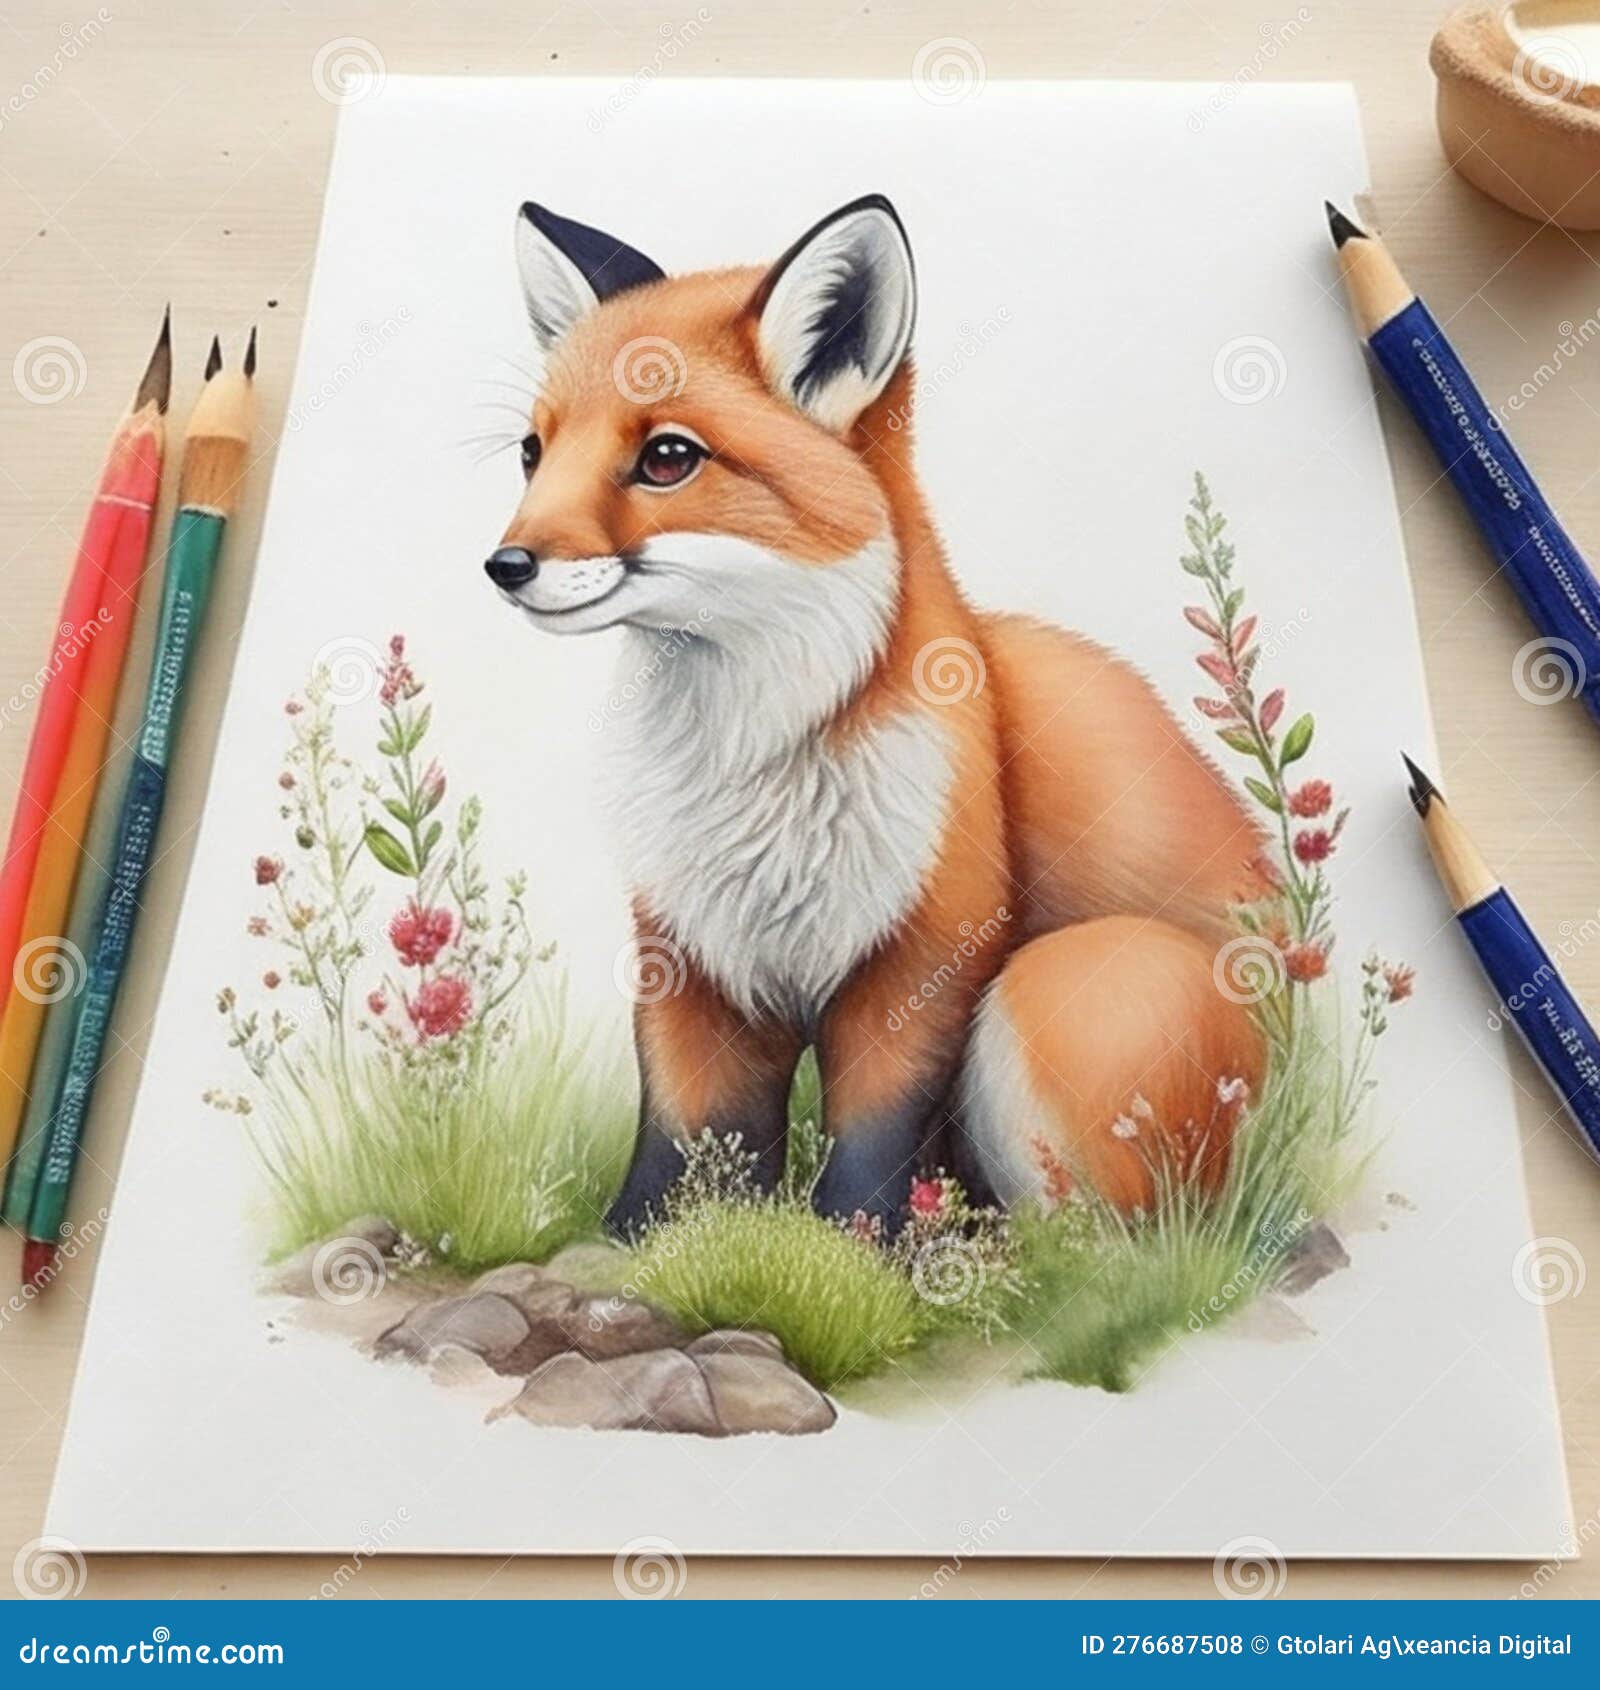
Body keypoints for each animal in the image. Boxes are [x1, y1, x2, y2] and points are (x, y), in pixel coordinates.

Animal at [486, 193, 1270, 1239]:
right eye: (534, 453)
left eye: (666, 458)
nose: (505, 565)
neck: (751, 775)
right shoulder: (692, 955)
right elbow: (688, 1136)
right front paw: (640, 1244)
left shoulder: (926, 956)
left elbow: (870, 1146)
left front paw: (847, 1252)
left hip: (1050, 986)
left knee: (1115, 1251)